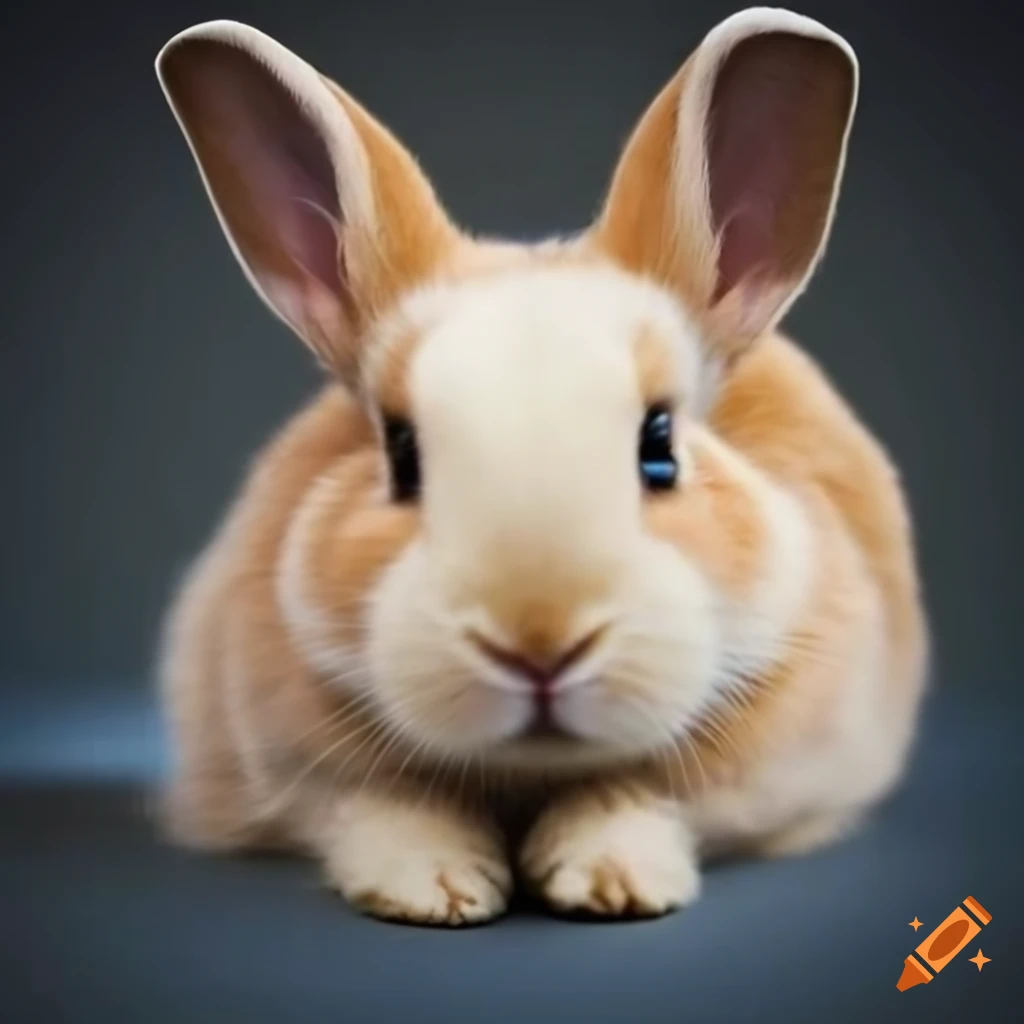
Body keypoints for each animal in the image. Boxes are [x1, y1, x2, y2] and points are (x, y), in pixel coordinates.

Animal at [153, 7, 928, 926]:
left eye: (659, 446)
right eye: (402, 454)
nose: (539, 643)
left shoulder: (779, 768)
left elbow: (640, 795)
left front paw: (612, 882)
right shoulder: (287, 765)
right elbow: (381, 803)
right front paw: (434, 889)